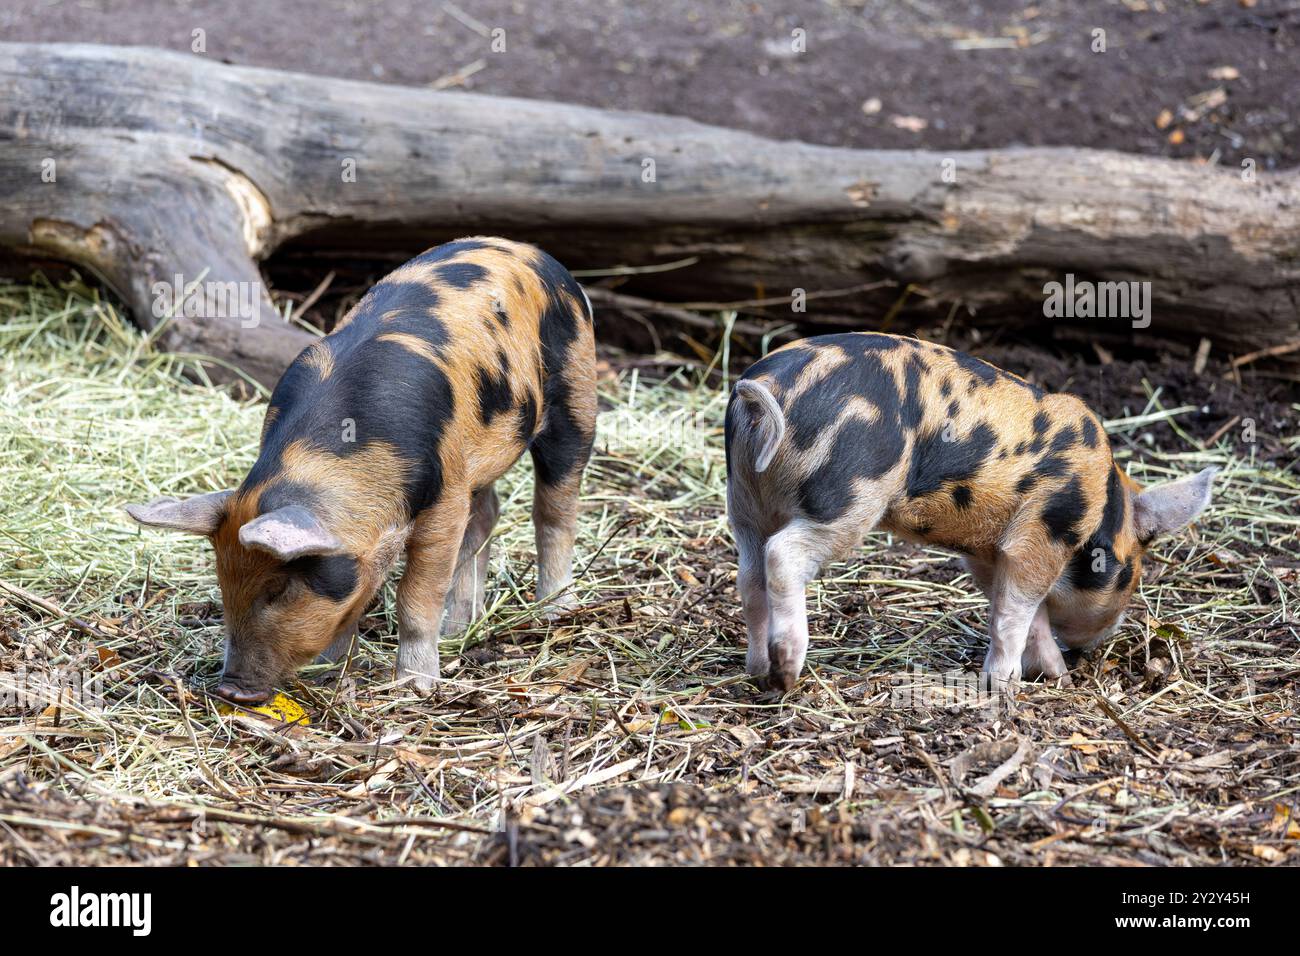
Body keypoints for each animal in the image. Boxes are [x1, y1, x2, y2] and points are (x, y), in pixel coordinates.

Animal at [127, 237, 597, 701]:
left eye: (278, 588)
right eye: (223, 581)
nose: (230, 691)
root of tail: (529, 250)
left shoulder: (445, 493)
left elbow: (417, 595)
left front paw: (414, 686)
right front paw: (328, 671)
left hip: (577, 392)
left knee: (555, 508)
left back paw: (554, 609)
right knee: (487, 515)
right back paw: (456, 630)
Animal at [725, 332, 1217, 692]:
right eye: (1130, 573)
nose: (1100, 641)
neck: (1102, 504)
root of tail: (765, 392)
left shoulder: (988, 551)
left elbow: (1023, 613)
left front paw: (1055, 676)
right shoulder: (1041, 531)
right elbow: (1016, 613)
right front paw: (1006, 686)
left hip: (744, 501)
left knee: (749, 576)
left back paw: (756, 671)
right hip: (847, 494)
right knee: (781, 555)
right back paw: (787, 673)